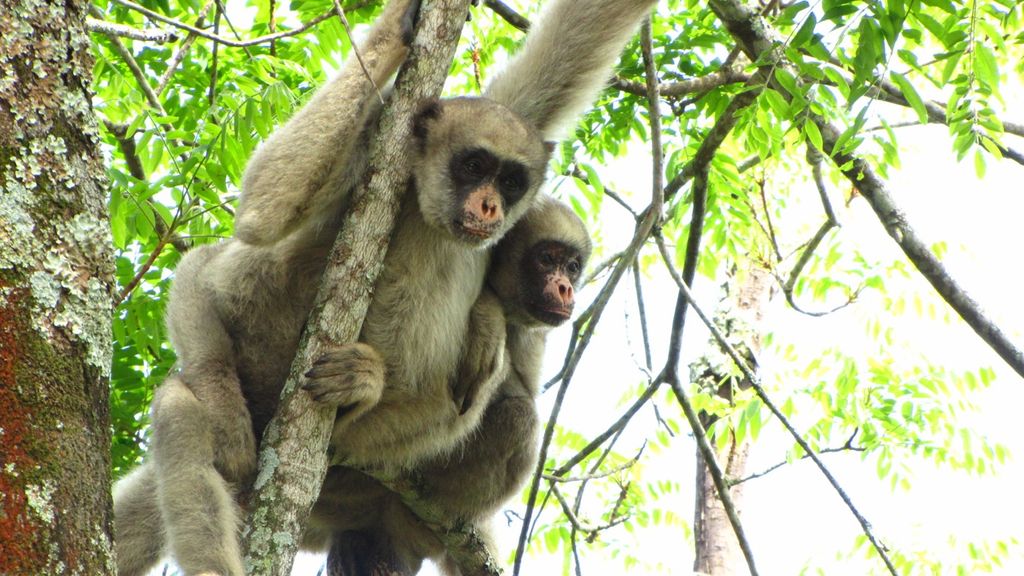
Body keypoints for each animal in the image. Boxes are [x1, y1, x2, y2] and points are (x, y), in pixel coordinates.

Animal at [308, 195, 592, 575]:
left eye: (573, 266)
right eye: (547, 259)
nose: (565, 287)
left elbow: (522, 387)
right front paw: (489, 315)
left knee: (518, 415)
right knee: (519, 417)